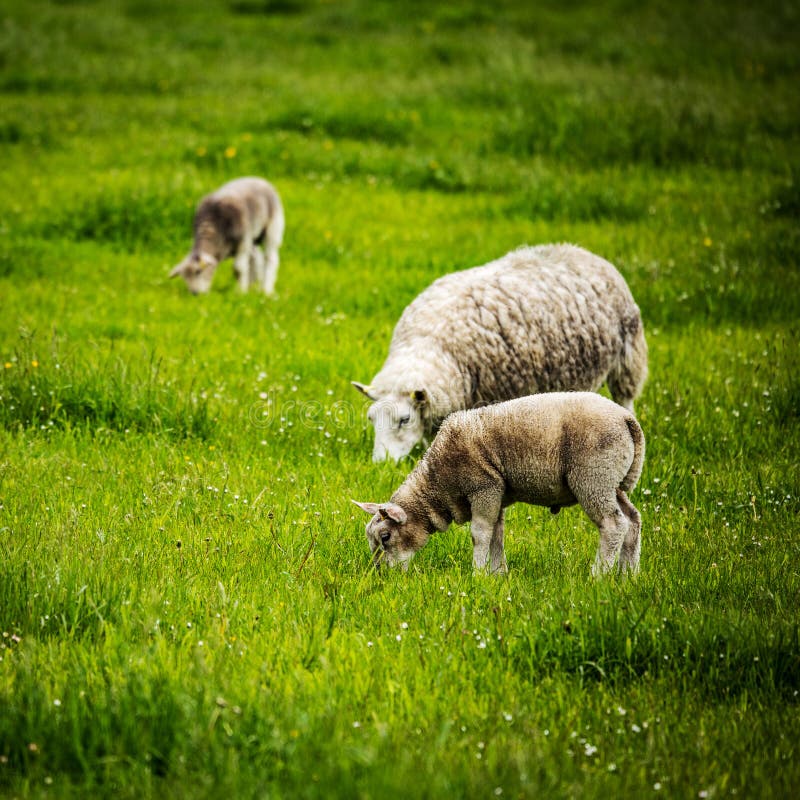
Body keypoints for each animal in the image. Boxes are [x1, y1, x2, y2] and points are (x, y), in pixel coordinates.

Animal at [352, 244, 647, 462]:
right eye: (371, 419)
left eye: (404, 420)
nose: (381, 464)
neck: (430, 342)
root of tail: (582, 251)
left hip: (628, 357)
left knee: (626, 398)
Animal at [353, 391, 645, 576]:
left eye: (385, 537)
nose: (380, 574)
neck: (438, 481)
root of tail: (626, 419)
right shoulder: (497, 493)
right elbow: (497, 533)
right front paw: (497, 574)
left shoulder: (483, 487)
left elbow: (480, 533)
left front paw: (478, 574)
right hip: (611, 482)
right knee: (632, 520)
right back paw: (628, 575)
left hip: (593, 477)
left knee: (613, 524)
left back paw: (599, 575)